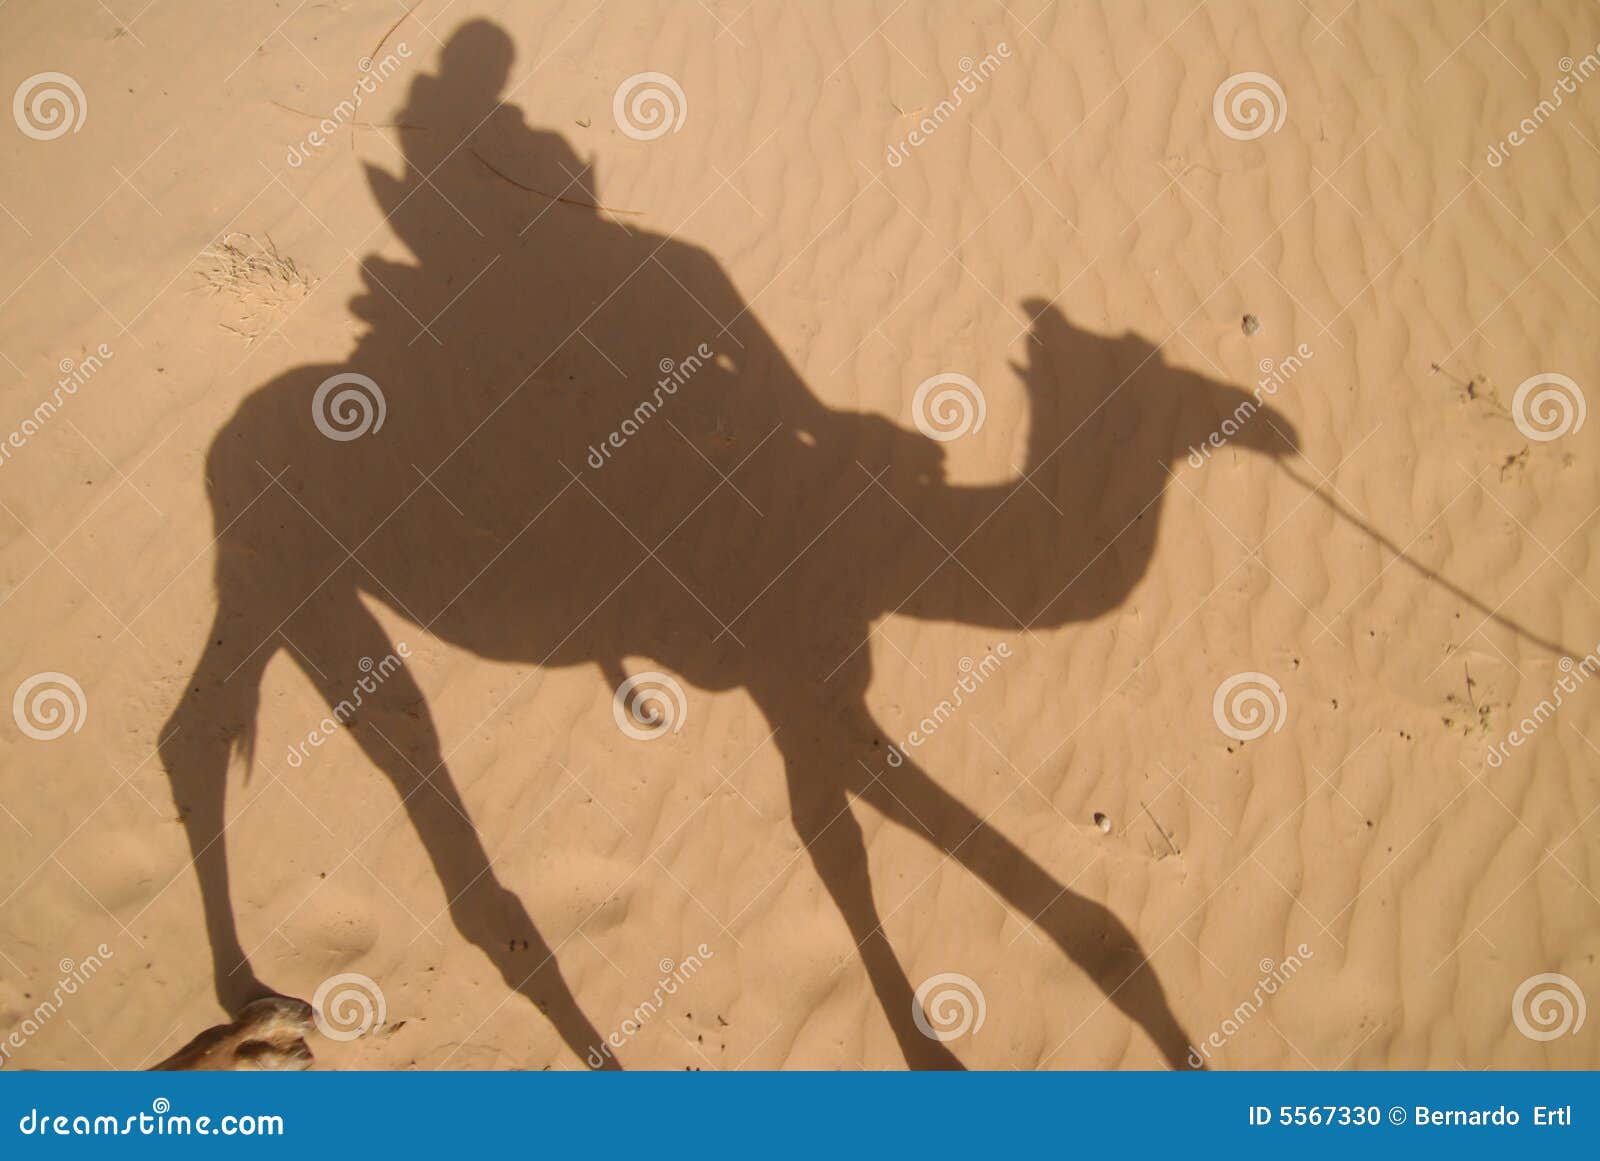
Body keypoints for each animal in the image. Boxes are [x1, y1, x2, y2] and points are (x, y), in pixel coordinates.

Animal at [158, 21, 1299, 1069]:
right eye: (1146, 371)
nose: (1279, 425)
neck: (901, 553)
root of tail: (223, 433)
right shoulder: (793, 683)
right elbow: (853, 861)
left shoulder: (824, 695)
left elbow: (1080, 920)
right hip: (293, 567)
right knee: (312, 755)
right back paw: (272, 1033)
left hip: (272, 577)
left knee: (197, 731)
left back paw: (256, 1017)